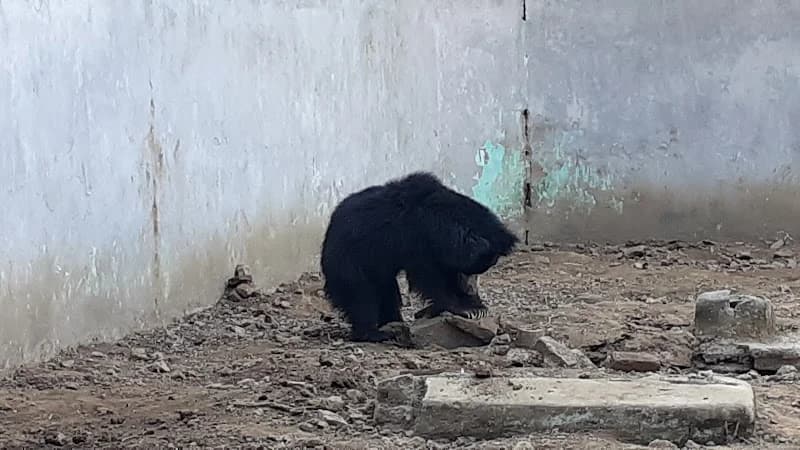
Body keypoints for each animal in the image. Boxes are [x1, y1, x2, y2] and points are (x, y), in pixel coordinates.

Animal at [320, 171, 518, 342]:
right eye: (471, 271)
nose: (471, 290)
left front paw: (477, 307)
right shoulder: (415, 240)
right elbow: (429, 278)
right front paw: (464, 308)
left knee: (387, 292)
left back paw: (394, 323)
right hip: (351, 261)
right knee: (361, 296)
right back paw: (374, 333)